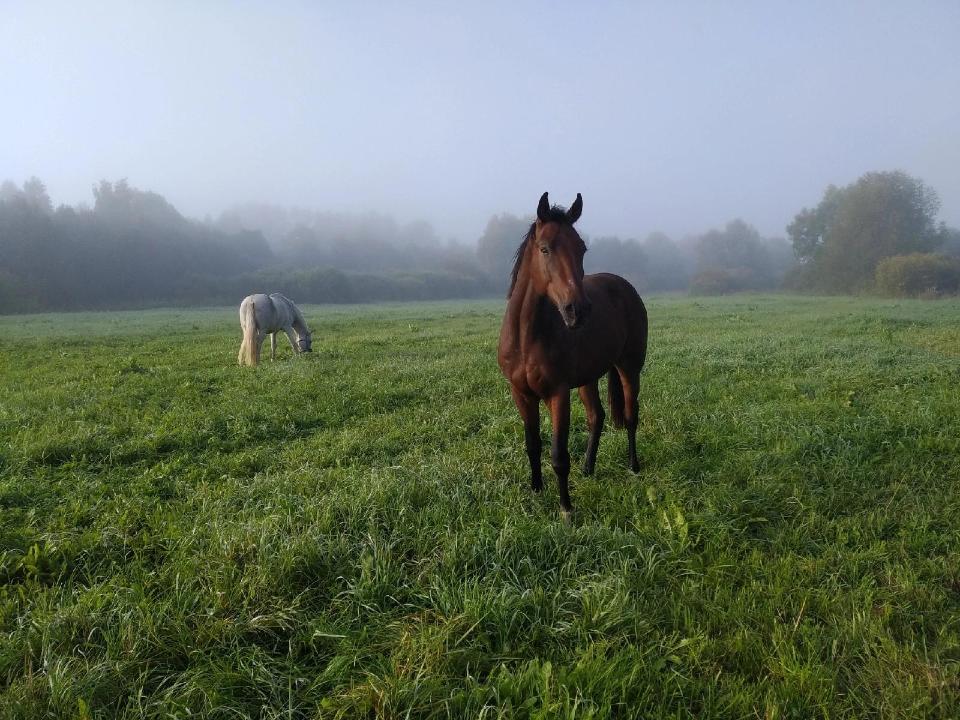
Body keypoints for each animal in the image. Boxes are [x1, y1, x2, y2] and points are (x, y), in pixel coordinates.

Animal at [498, 191, 648, 516]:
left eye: (581, 249)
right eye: (545, 249)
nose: (578, 310)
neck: (526, 339)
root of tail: (623, 285)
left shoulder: (558, 394)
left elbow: (558, 454)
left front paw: (566, 509)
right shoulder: (521, 394)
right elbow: (533, 445)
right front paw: (536, 491)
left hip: (629, 368)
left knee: (631, 416)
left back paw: (633, 466)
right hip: (588, 378)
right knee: (597, 417)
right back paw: (588, 467)